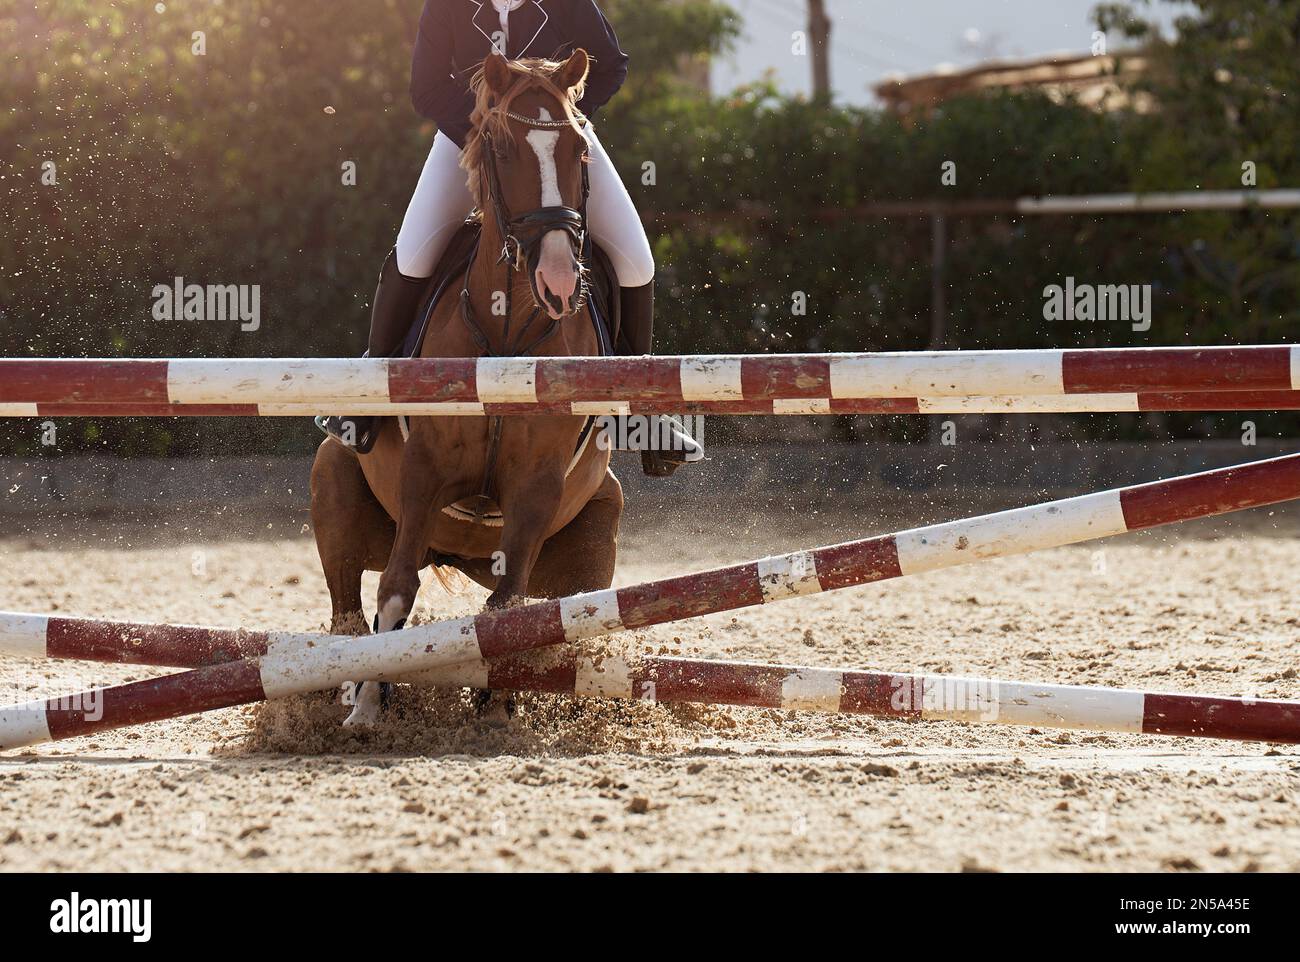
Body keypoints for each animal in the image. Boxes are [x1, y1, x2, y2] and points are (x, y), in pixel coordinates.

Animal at [309, 50, 624, 725]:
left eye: (579, 151)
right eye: (502, 150)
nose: (559, 281)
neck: (506, 330)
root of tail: (454, 555)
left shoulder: (535, 487)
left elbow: (508, 610)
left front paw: (496, 711)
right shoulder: (424, 470)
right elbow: (396, 590)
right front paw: (366, 711)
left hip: (593, 537)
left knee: (555, 611)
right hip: (338, 490)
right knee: (349, 613)